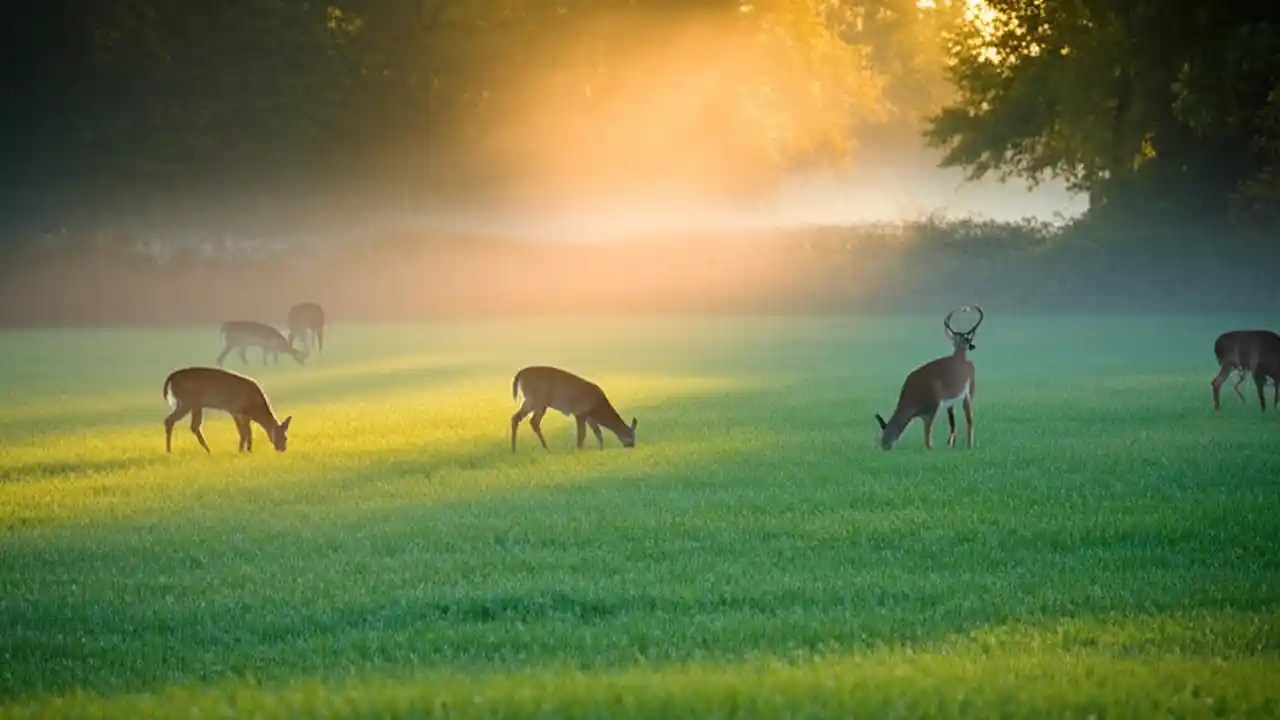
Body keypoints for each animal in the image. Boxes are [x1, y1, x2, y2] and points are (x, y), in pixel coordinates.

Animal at [162, 367, 293, 453]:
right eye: (280, 436)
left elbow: (244, 432)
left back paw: (208, 450)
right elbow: (246, 433)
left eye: (286, 438)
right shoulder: (239, 412)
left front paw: (244, 450)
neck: (256, 409)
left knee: (194, 426)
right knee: (170, 420)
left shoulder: (237, 414)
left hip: (195, 404)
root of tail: (171, 378)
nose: (282, 449)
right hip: (187, 401)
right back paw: (169, 451)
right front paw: (246, 451)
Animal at [875, 306, 982, 451]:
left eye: (890, 429)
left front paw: (930, 450)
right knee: (954, 424)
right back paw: (952, 446)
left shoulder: (932, 410)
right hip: (952, 403)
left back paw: (969, 446)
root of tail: (969, 363)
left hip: (968, 395)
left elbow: (927, 437)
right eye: (883, 431)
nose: (884, 446)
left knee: (970, 420)